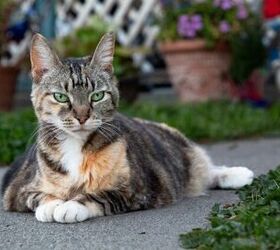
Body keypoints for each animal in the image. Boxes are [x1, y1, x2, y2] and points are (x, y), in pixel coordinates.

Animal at [1, 32, 254, 223]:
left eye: (97, 95)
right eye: (61, 97)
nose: (82, 116)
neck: (76, 147)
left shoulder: (136, 189)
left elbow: (99, 196)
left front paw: (70, 206)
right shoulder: (15, 191)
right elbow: (38, 196)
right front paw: (51, 204)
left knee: (206, 168)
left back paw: (239, 174)